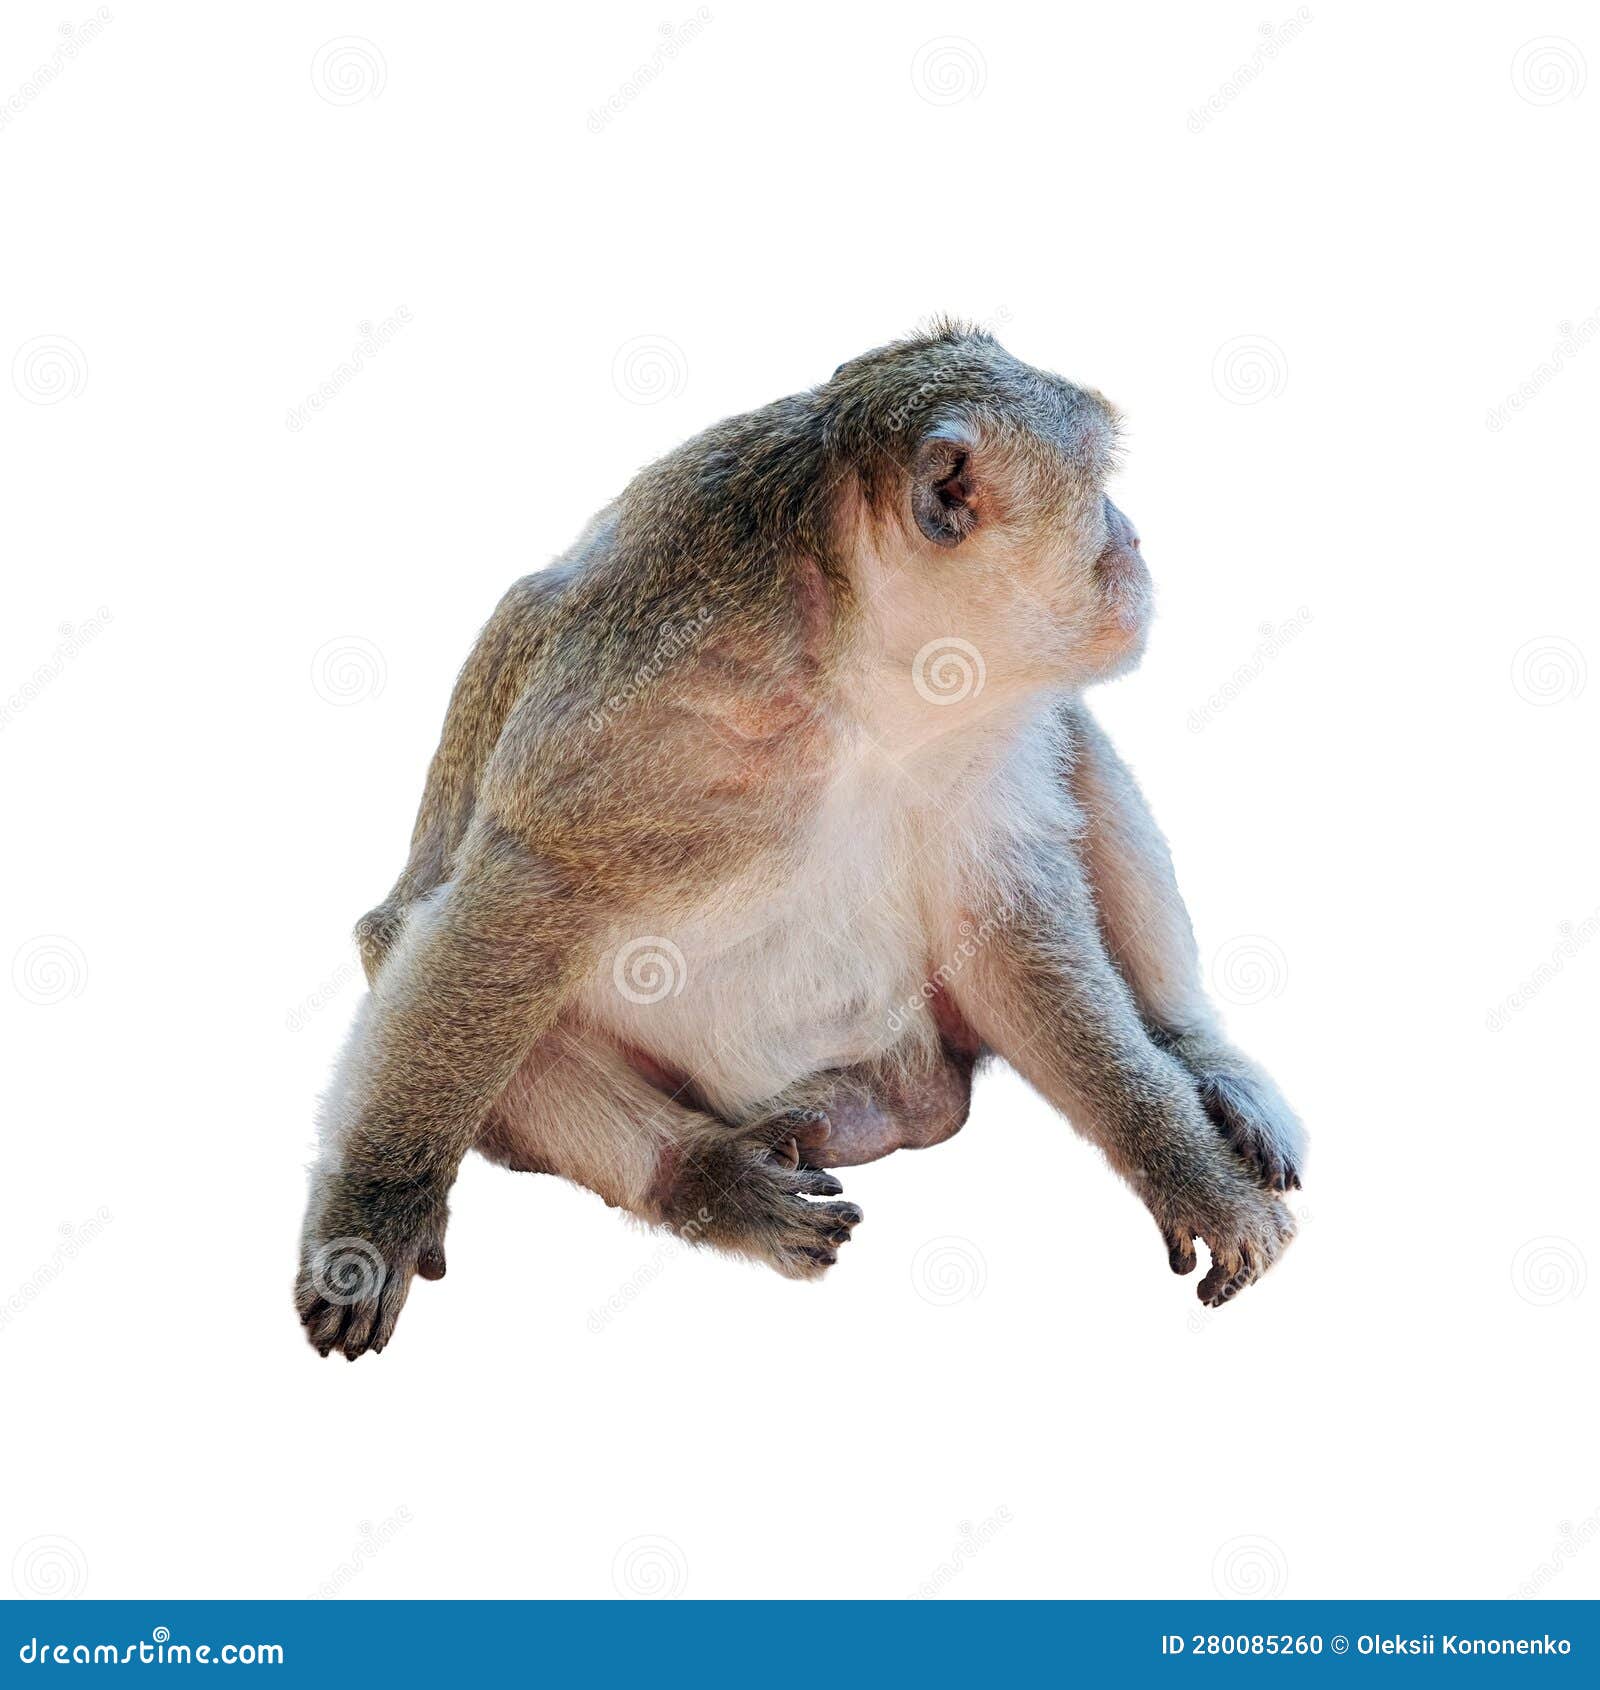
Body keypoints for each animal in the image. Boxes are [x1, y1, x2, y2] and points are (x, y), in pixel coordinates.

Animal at [296, 320, 1306, 1359]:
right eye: (1097, 487)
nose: (1133, 538)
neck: (865, 678)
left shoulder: (992, 735)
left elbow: (1009, 938)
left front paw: (1187, 1168)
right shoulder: (635, 730)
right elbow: (519, 906)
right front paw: (378, 1206)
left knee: (1077, 731)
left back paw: (1198, 1056)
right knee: (417, 941)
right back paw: (707, 1179)